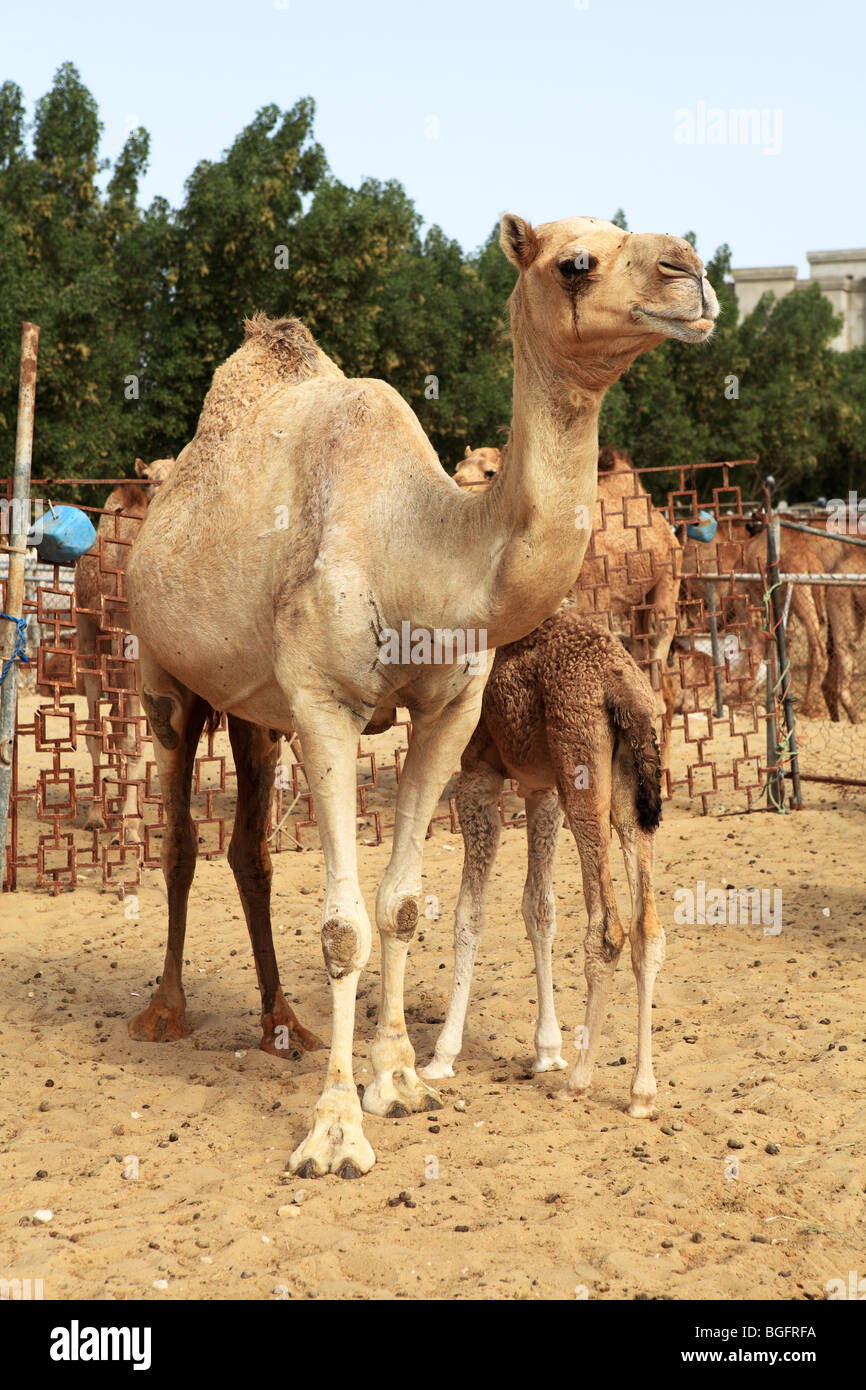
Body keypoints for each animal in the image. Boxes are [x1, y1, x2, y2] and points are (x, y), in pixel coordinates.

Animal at [421, 613, 664, 1117]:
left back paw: (579, 1081)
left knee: (607, 929)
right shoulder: (541, 789)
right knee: (647, 929)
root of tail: (623, 689)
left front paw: (442, 1056)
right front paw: (547, 1050)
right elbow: (539, 908)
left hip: (581, 769)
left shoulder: (476, 774)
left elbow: (469, 915)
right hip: (629, 791)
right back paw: (641, 1093)